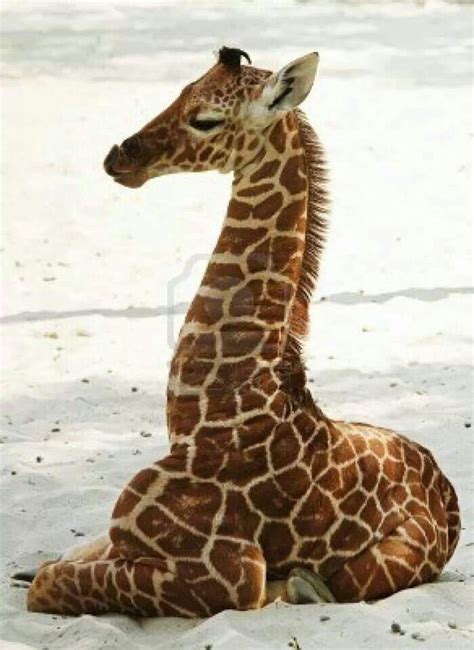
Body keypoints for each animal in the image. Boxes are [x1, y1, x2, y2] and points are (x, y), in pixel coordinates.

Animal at [22, 48, 460, 617]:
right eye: (182, 91)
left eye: (205, 118)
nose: (119, 157)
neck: (211, 412)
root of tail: (451, 500)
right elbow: (63, 561)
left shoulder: (229, 574)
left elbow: (46, 586)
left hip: (375, 569)